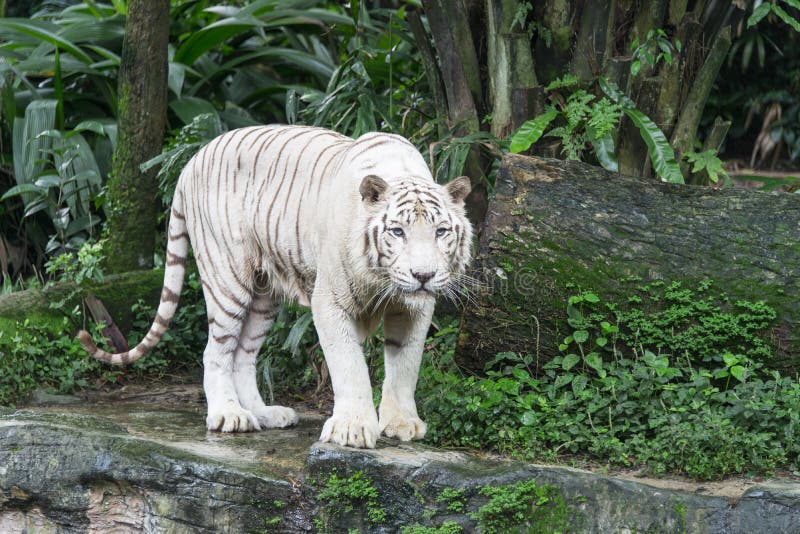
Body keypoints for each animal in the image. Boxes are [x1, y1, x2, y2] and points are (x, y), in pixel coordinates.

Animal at [78, 124, 473, 449]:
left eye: (441, 231)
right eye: (397, 232)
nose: (423, 275)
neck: (384, 281)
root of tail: (191, 160)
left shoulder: (416, 307)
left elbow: (406, 364)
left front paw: (402, 424)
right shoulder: (330, 301)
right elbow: (350, 366)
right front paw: (352, 429)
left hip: (264, 295)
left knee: (243, 356)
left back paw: (264, 414)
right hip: (227, 279)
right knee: (215, 351)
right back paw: (229, 415)